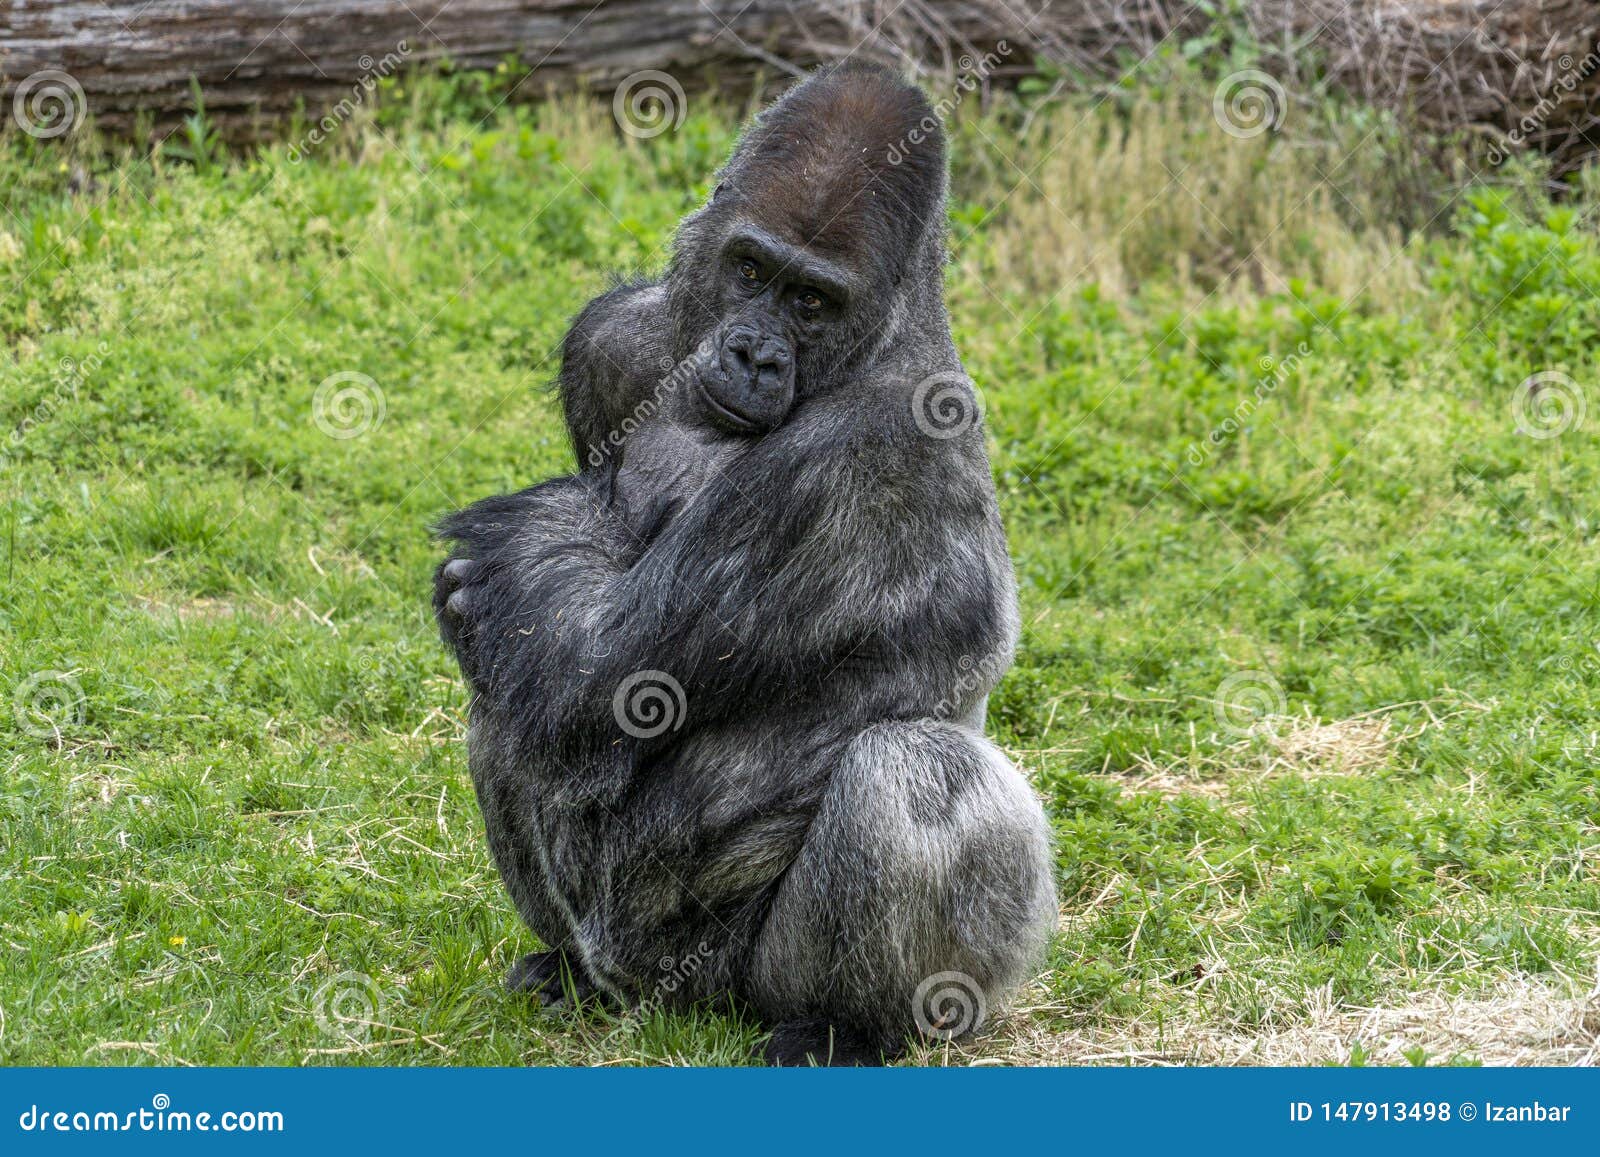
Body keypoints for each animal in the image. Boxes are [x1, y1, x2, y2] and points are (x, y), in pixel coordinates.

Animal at [433, 63, 1057, 1065]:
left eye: (812, 303)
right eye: (752, 270)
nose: (755, 353)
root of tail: (655, 997)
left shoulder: (872, 447)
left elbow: (597, 665)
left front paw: (505, 561)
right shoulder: (613, 336)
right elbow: (563, 664)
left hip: (732, 984)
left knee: (920, 772)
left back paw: (841, 1028)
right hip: (628, 963)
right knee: (503, 690)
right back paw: (567, 969)